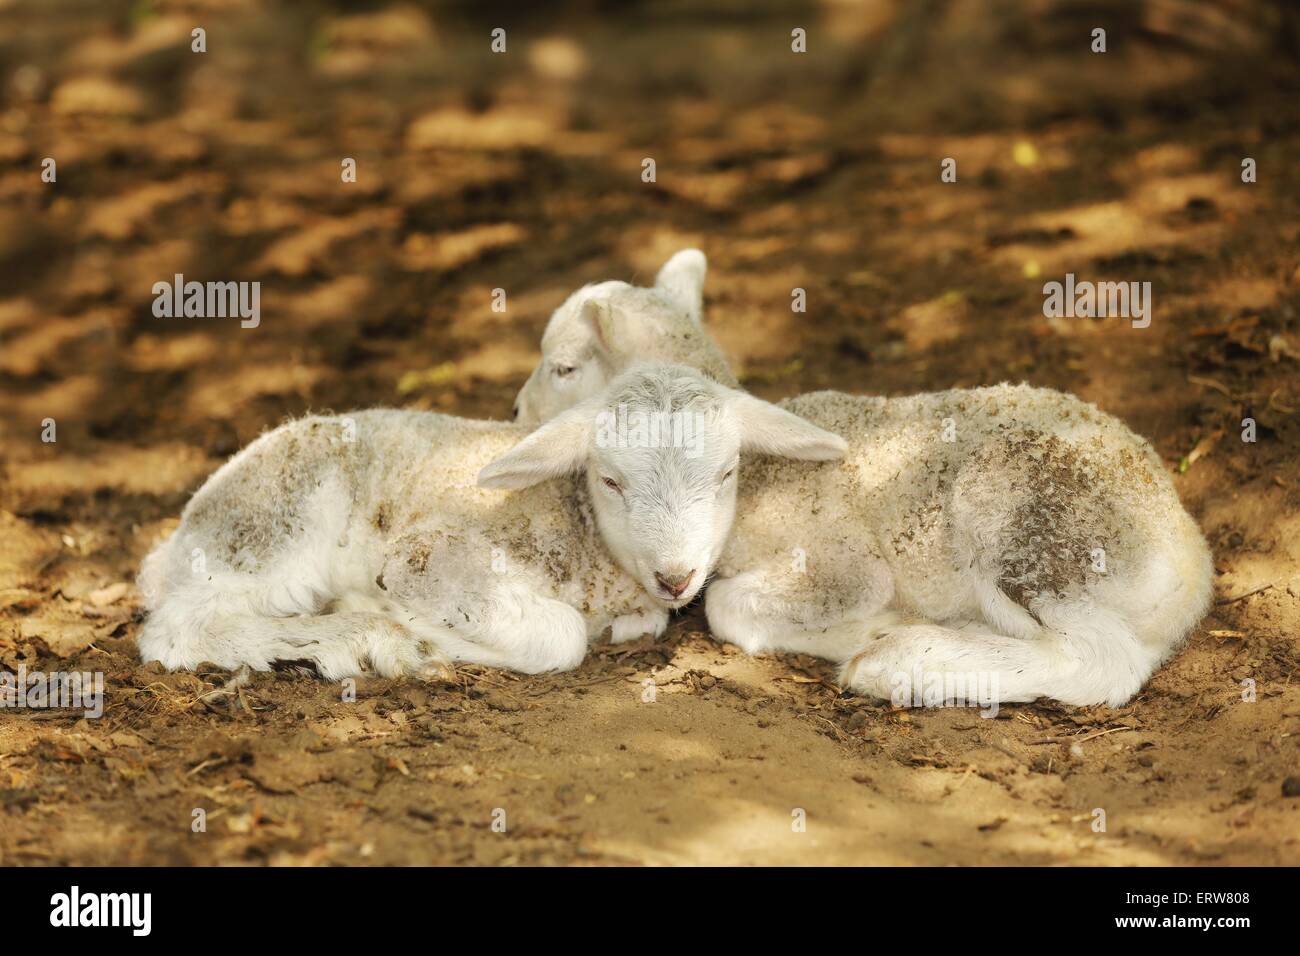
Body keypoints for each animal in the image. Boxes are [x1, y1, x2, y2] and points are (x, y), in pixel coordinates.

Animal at [509, 251, 1216, 707]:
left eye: (565, 368)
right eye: (612, 482)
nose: (514, 412)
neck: (760, 479)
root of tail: (1188, 552)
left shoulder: (842, 567)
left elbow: (727, 606)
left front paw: (867, 630)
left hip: (1030, 524)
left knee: (1102, 662)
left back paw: (905, 661)